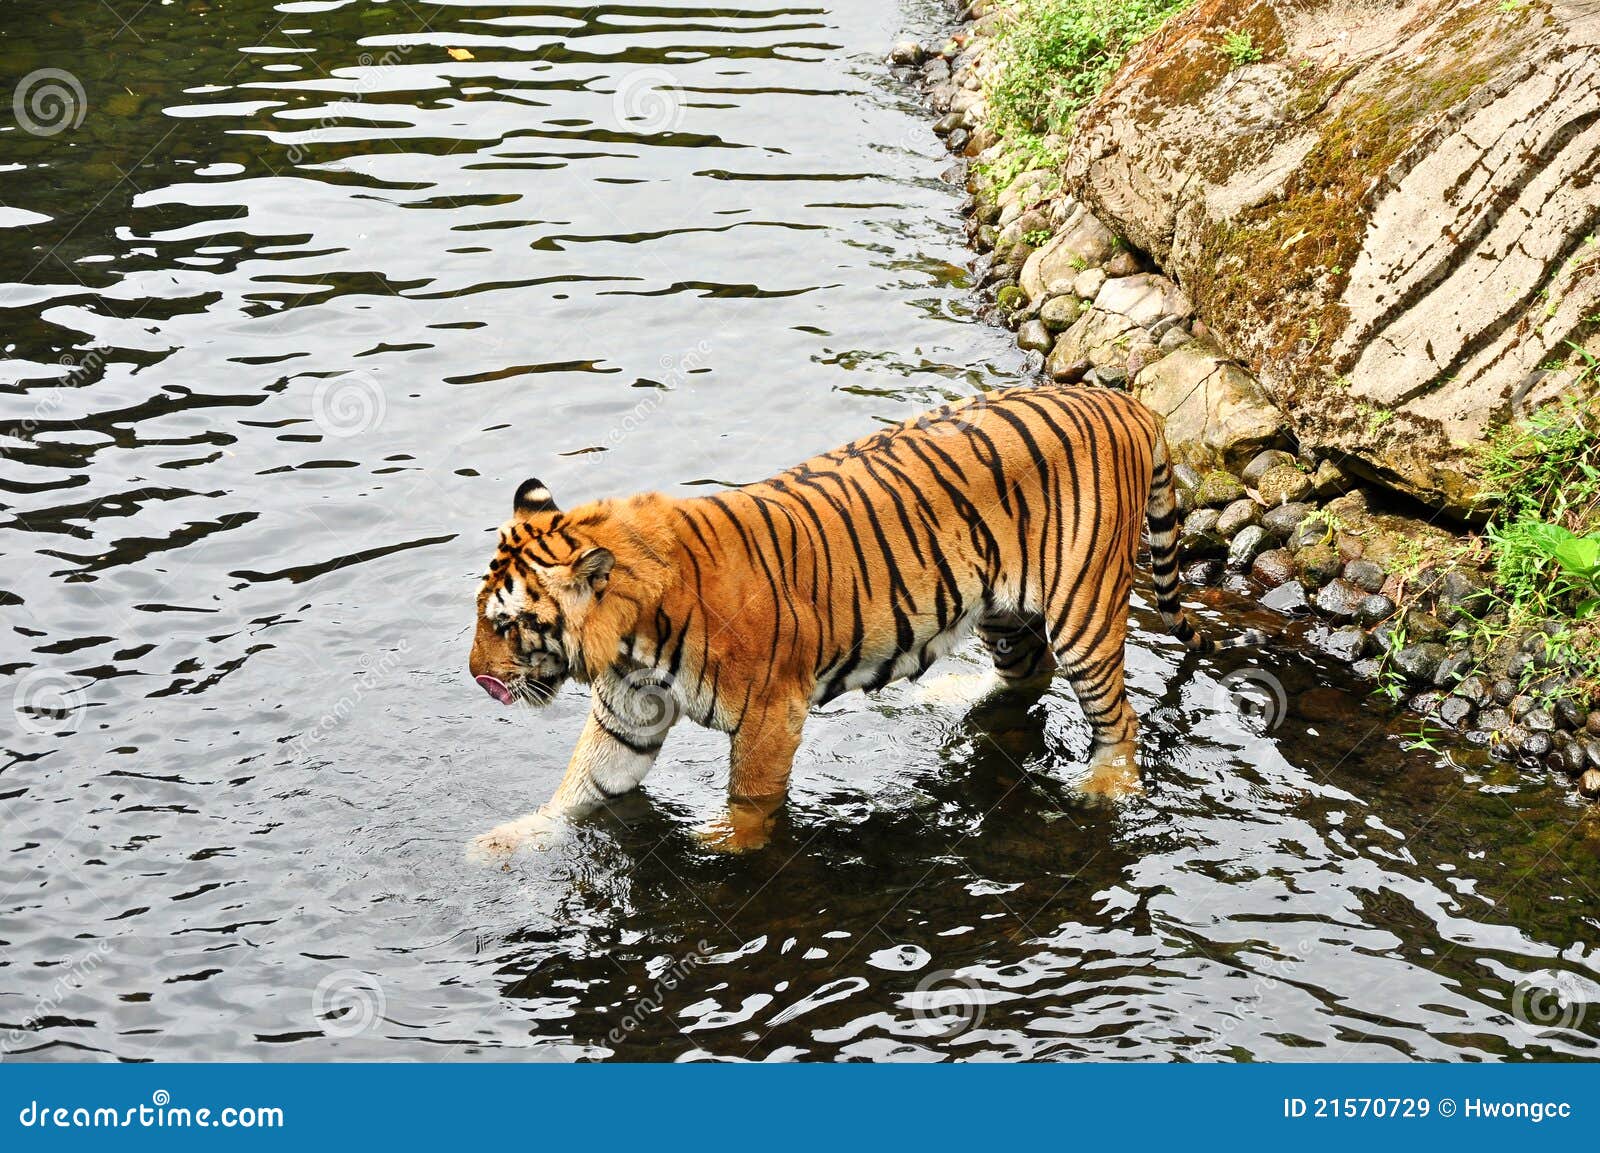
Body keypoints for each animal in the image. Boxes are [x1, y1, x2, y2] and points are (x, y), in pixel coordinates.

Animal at [467, 384, 1261, 853]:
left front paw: (722, 845)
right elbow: (580, 788)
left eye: (505, 626)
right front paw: (507, 839)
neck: (631, 637)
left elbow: (750, 798)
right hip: (1002, 609)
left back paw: (1106, 790)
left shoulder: (769, 713)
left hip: (1083, 611)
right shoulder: (627, 715)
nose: (476, 678)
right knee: (1023, 677)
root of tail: (1126, 402)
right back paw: (952, 693)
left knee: (1116, 717)